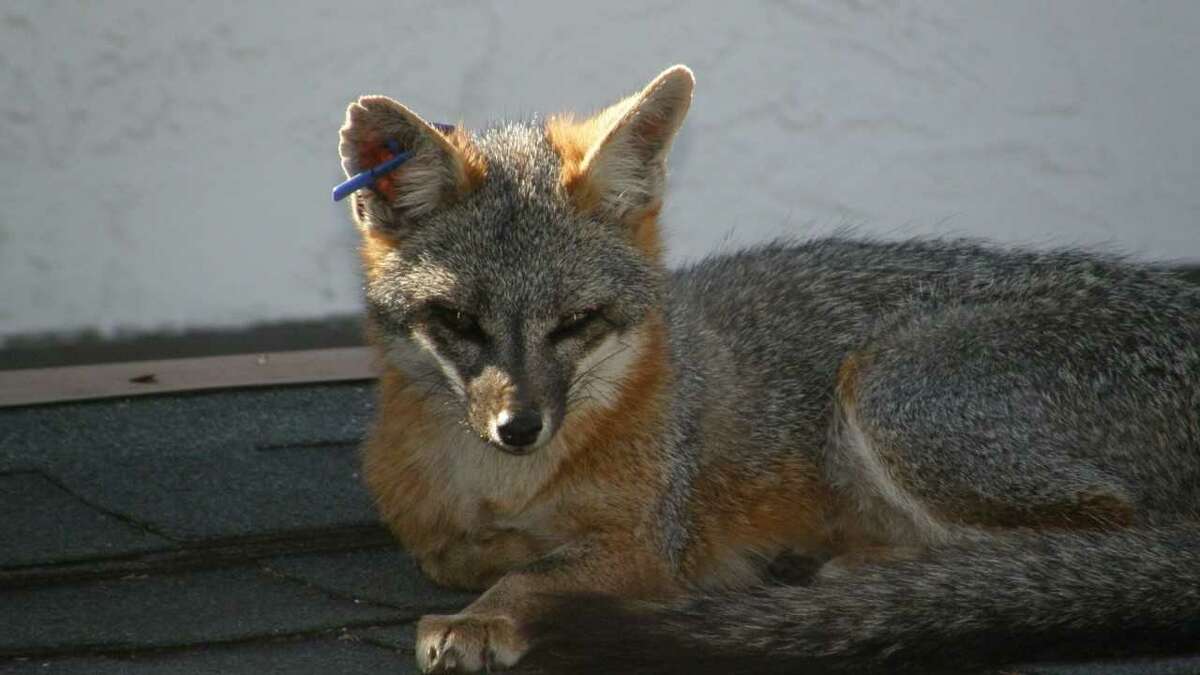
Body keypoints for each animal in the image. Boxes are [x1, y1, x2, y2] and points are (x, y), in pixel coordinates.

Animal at [336, 65, 1200, 673]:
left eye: (577, 322)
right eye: (459, 322)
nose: (519, 427)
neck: (508, 485)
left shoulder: (651, 543)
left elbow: (536, 575)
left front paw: (483, 614)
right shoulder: (444, 533)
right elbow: (462, 553)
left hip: (893, 394)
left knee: (1091, 541)